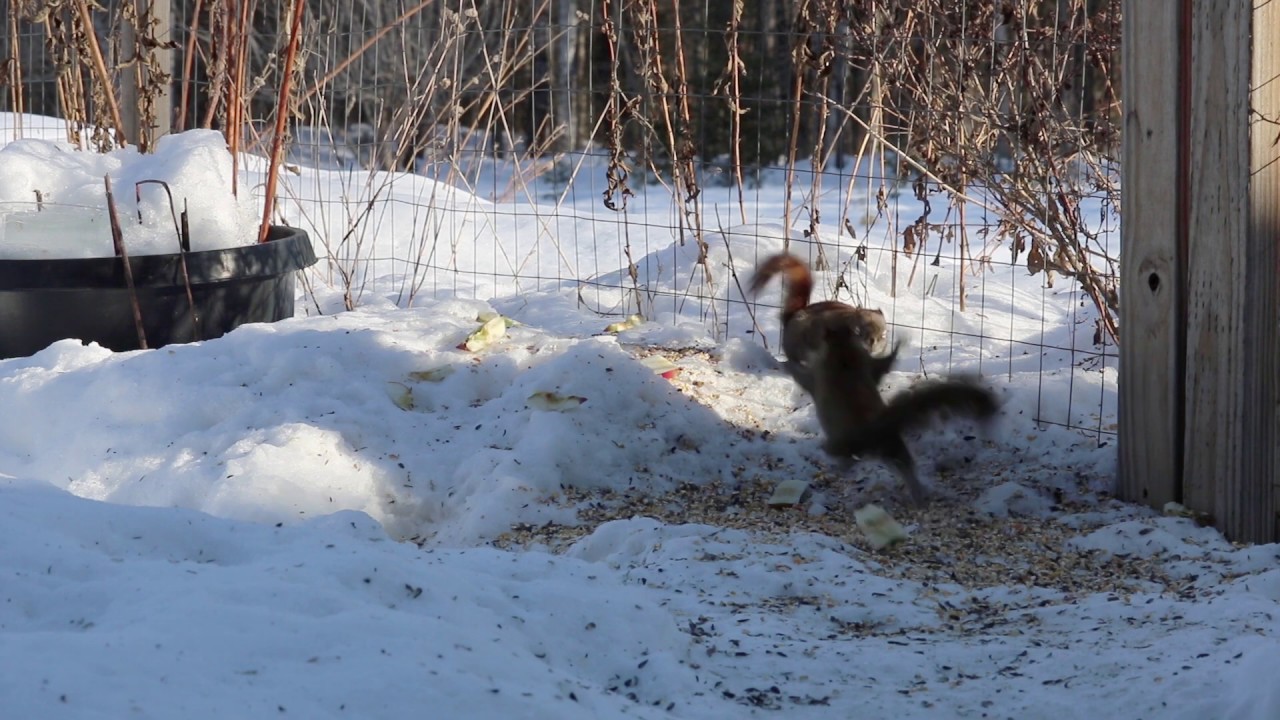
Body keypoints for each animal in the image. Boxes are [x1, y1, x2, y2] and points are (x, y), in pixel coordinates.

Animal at [805, 322, 998, 505]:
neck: (842, 350)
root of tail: (878, 429)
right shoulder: (867, 362)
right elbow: (882, 366)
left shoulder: (822, 369)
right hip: (894, 447)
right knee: (906, 466)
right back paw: (919, 495)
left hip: (843, 441)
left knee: (847, 457)